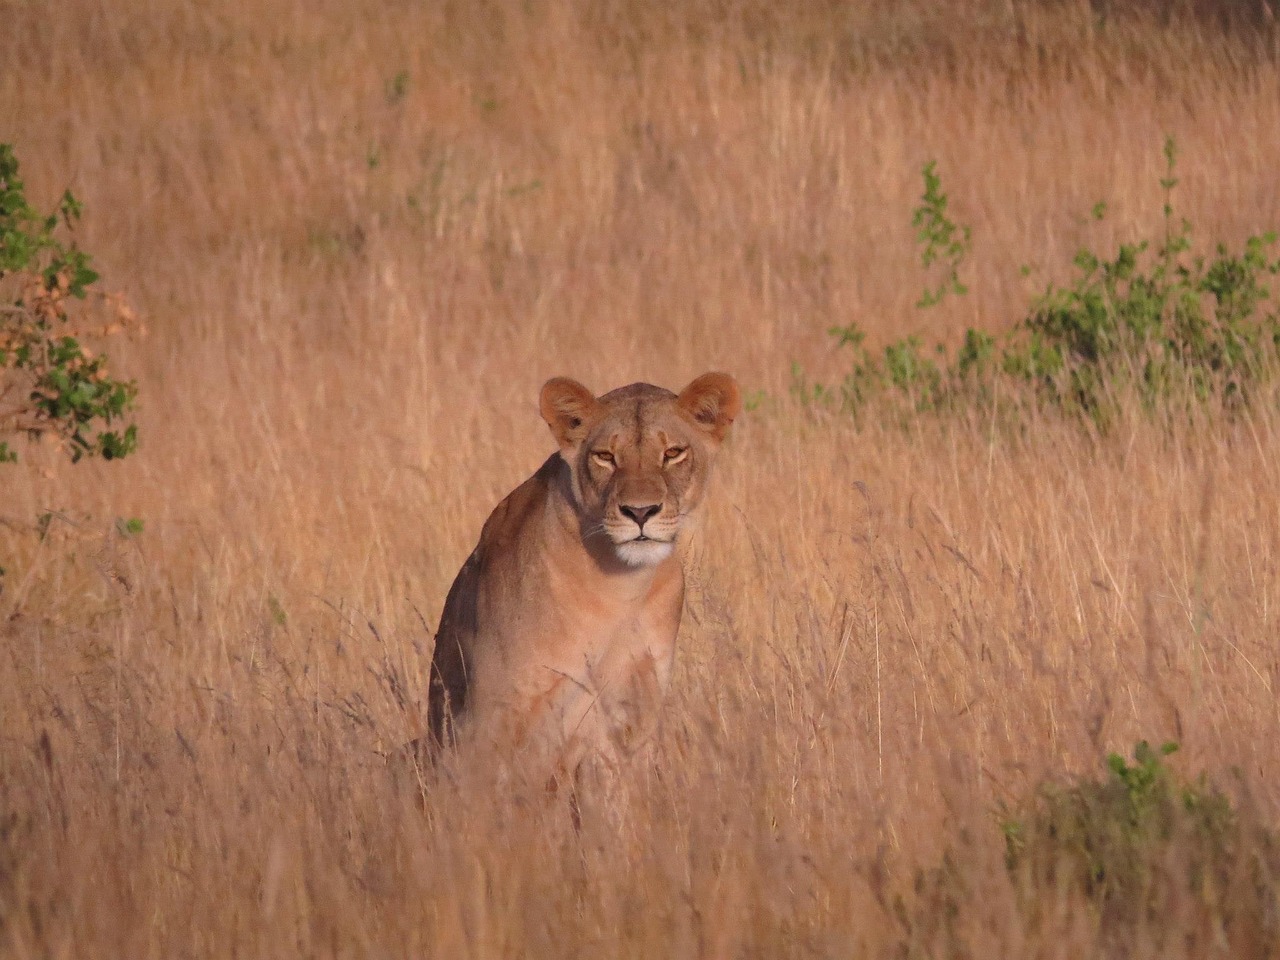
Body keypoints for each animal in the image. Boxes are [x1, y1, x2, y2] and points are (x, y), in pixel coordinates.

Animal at [424, 372, 740, 782]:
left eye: (672, 453)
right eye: (605, 456)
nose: (641, 512)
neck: (622, 590)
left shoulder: (630, 719)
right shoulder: (488, 722)